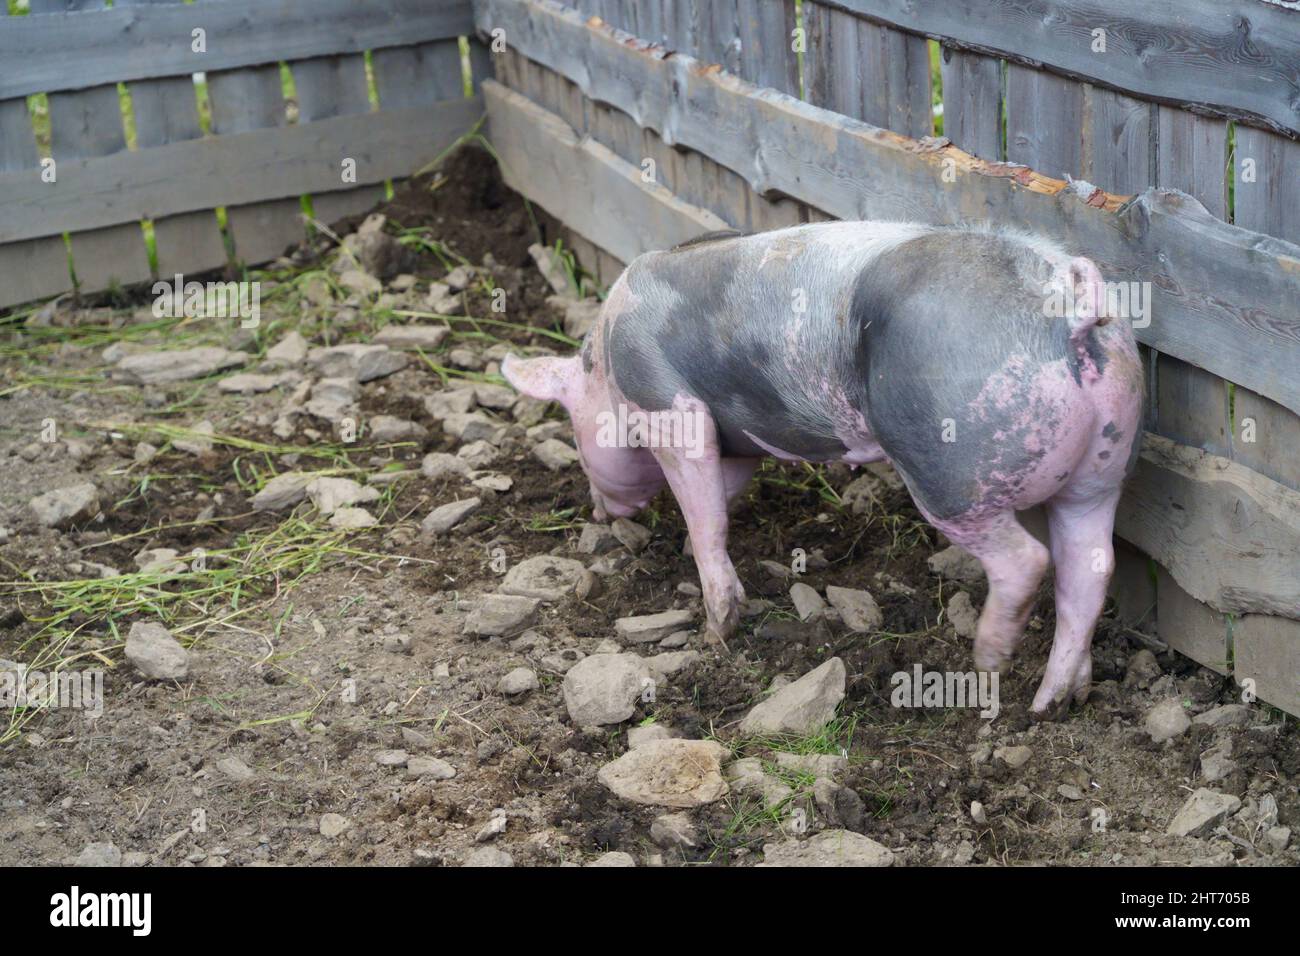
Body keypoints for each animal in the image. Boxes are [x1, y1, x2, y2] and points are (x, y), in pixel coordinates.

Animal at [502, 222, 1143, 719]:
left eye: (574, 428)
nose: (599, 511)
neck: (607, 364)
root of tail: (1070, 301)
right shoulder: (737, 442)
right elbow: (724, 495)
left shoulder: (672, 412)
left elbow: (704, 513)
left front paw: (716, 632)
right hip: (1104, 466)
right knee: (1091, 570)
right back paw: (1055, 701)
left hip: (950, 465)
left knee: (1025, 561)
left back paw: (988, 663)